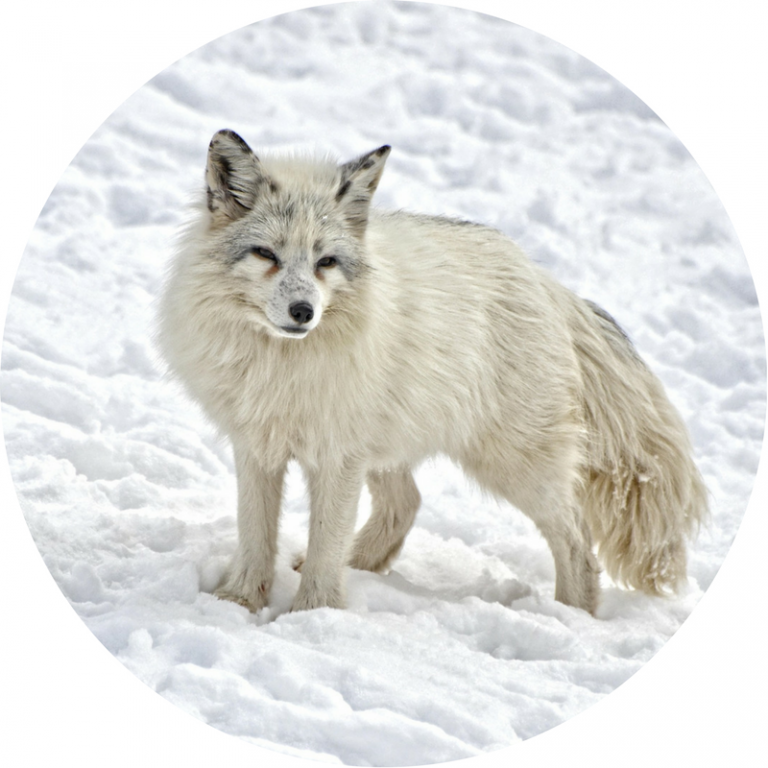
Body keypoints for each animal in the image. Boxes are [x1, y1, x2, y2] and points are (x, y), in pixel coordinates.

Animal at [157, 129, 708, 616]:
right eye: (266, 255)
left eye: (325, 262)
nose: (303, 312)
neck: (281, 366)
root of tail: (544, 281)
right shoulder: (258, 447)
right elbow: (256, 535)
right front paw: (238, 603)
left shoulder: (337, 457)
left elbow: (325, 546)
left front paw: (311, 616)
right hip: (392, 448)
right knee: (407, 504)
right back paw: (360, 566)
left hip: (513, 465)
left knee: (578, 544)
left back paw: (571, 619)